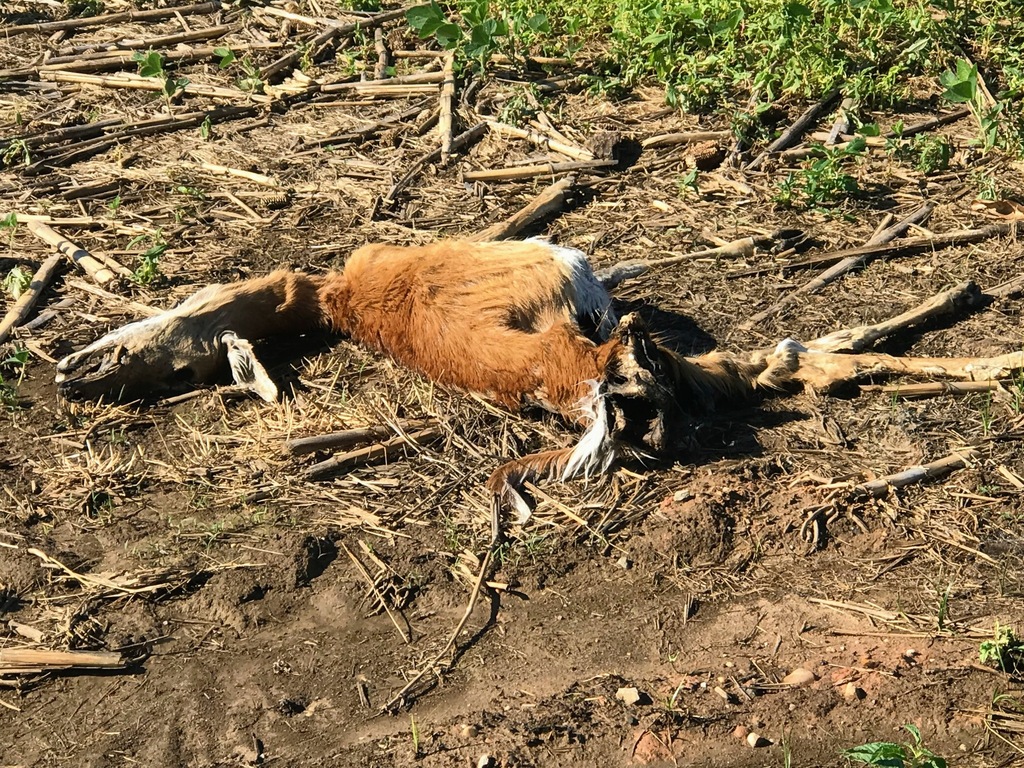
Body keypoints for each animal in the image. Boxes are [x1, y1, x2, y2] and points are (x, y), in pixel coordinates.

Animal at [55, 238, 1024, 518]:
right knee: (789, 360)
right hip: (580, 283)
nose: (70, 373)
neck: (330, 300)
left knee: (787, 363)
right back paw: (986, 347)